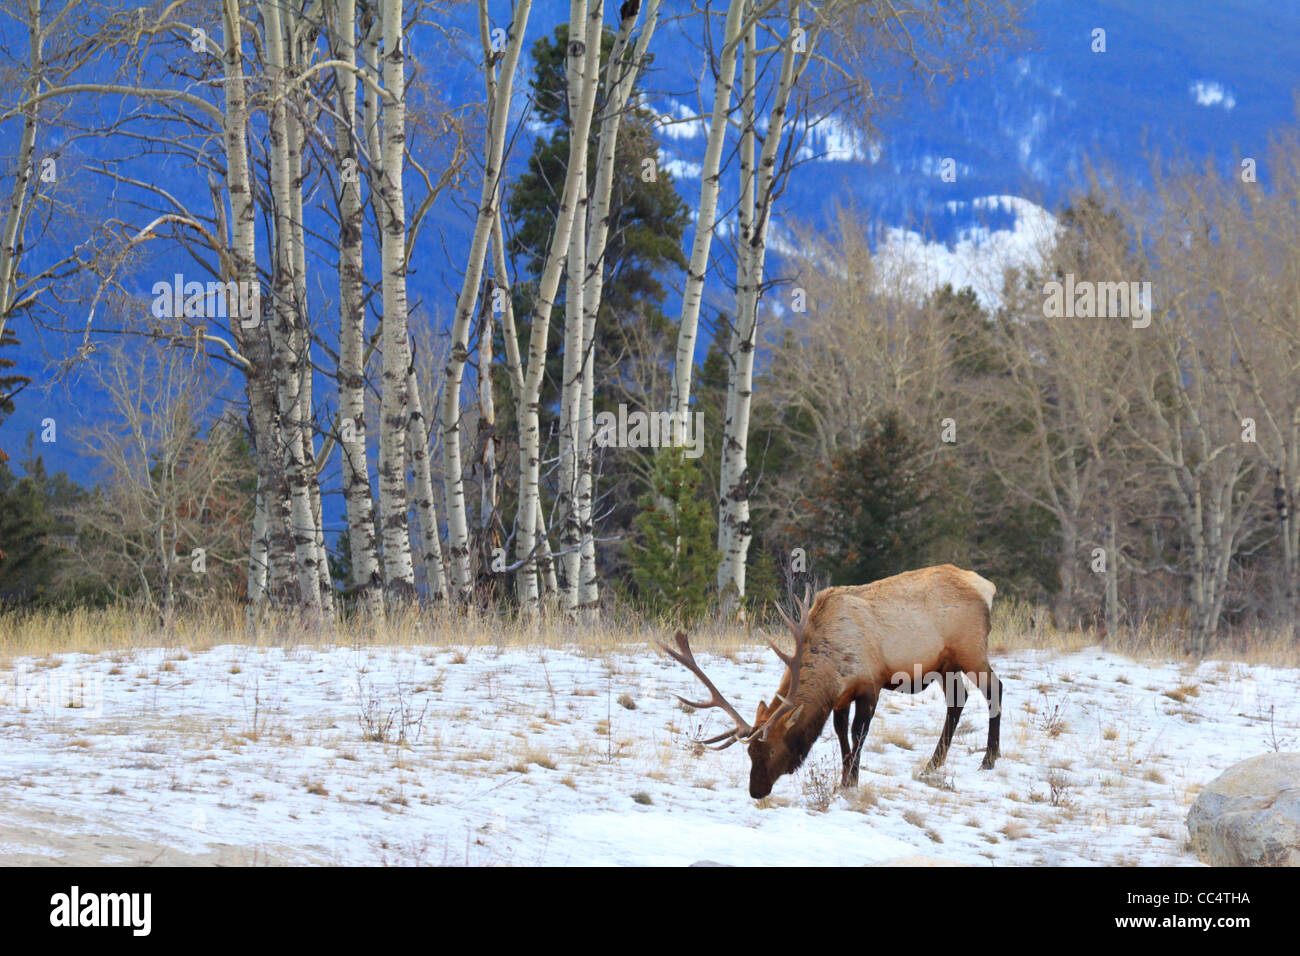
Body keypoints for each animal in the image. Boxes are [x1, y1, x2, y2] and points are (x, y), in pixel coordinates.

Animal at [660, 564, 1003, 796]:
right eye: (749, 753)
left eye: (770, 751)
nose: (756, 791)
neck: (832, 668)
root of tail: (987, 586)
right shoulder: (841, 697)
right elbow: (840, 733)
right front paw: (844, 777)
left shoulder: (870, 684)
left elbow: (858, 732)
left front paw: (851, 781)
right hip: (945, 665)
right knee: (958, 702)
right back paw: (933, 763)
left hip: (971, 650)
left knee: (995, 689)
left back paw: (989, 759)